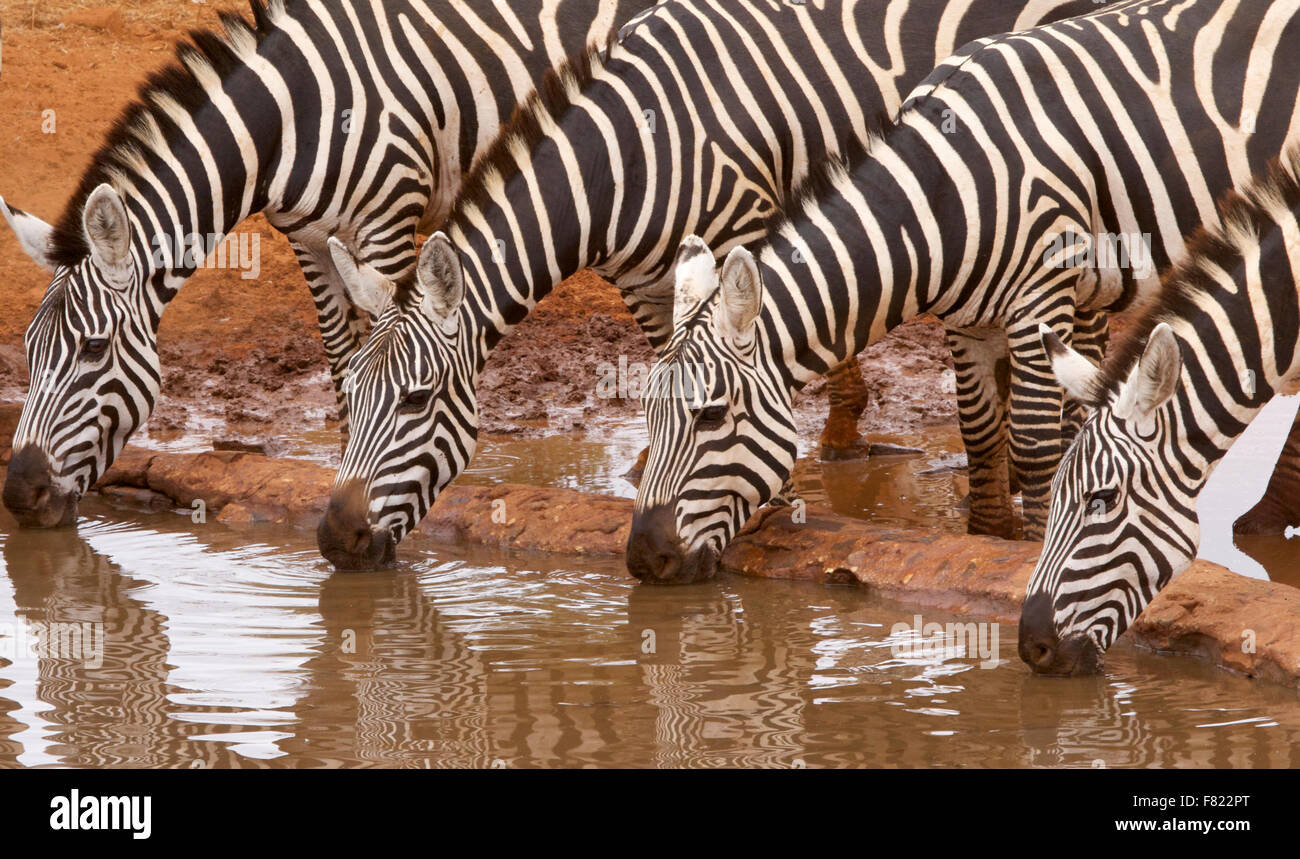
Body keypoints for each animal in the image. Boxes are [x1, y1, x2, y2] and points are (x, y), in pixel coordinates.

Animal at [0, 0, 657, 529]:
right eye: (27, 348)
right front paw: (349, 467)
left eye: (91, 349)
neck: (294, 116)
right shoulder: (309, 240)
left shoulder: (388, 222)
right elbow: (343, 359)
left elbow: (390, 348)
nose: (19, 496)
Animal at [312, 0, 1106, 570]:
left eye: (415, 401)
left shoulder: (742, 232)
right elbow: (679, 367)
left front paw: (771, 501)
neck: (628, 154)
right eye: (348, 395)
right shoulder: (646, 284)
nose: (333, 541)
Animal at [626, 0, 1300, 583]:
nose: (642, 560)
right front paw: (987, 537)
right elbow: (979, 435)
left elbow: (1031, 446)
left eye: (711, 415)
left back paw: (1266, 520)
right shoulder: (968, 319)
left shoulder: (1040, 297)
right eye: (649, 415)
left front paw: (1028, 547)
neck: (942, 198)